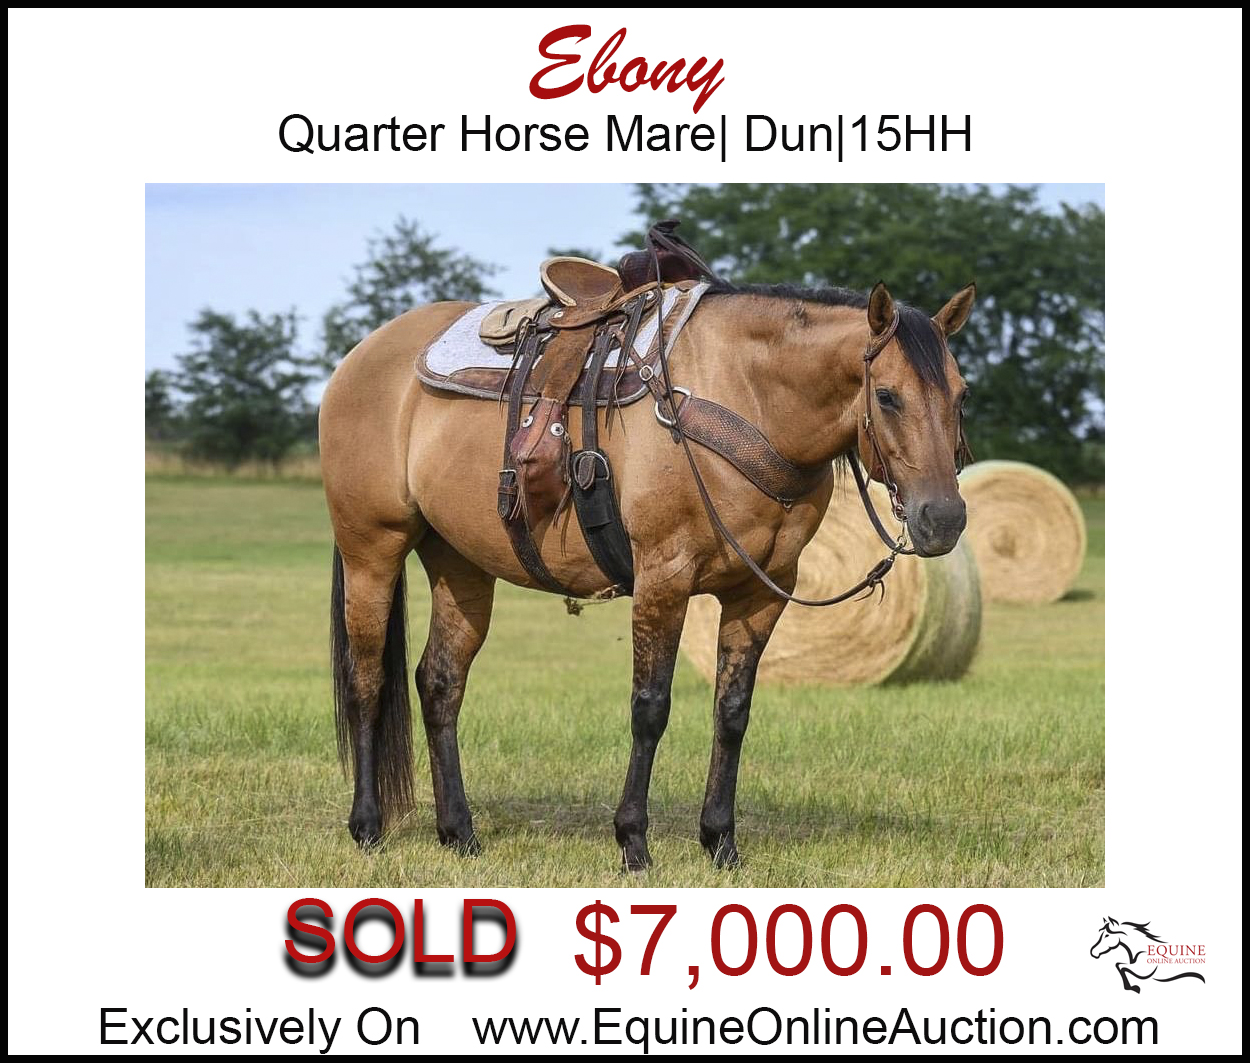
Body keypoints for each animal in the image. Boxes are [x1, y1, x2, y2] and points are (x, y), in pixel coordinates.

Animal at [318, 269, 975, 870]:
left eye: (961, 395)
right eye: (886, 396)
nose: (942, 518)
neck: (745, 394)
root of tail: (359, 359)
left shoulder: (763, 593)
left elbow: (732, 713)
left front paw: (721, 843)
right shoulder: (664, 579)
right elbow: (650, 708)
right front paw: (633, 841)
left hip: (461, 564)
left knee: (439, 683)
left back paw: (460, 833)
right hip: (371, 551)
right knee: (367, 679)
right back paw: (368, 826)